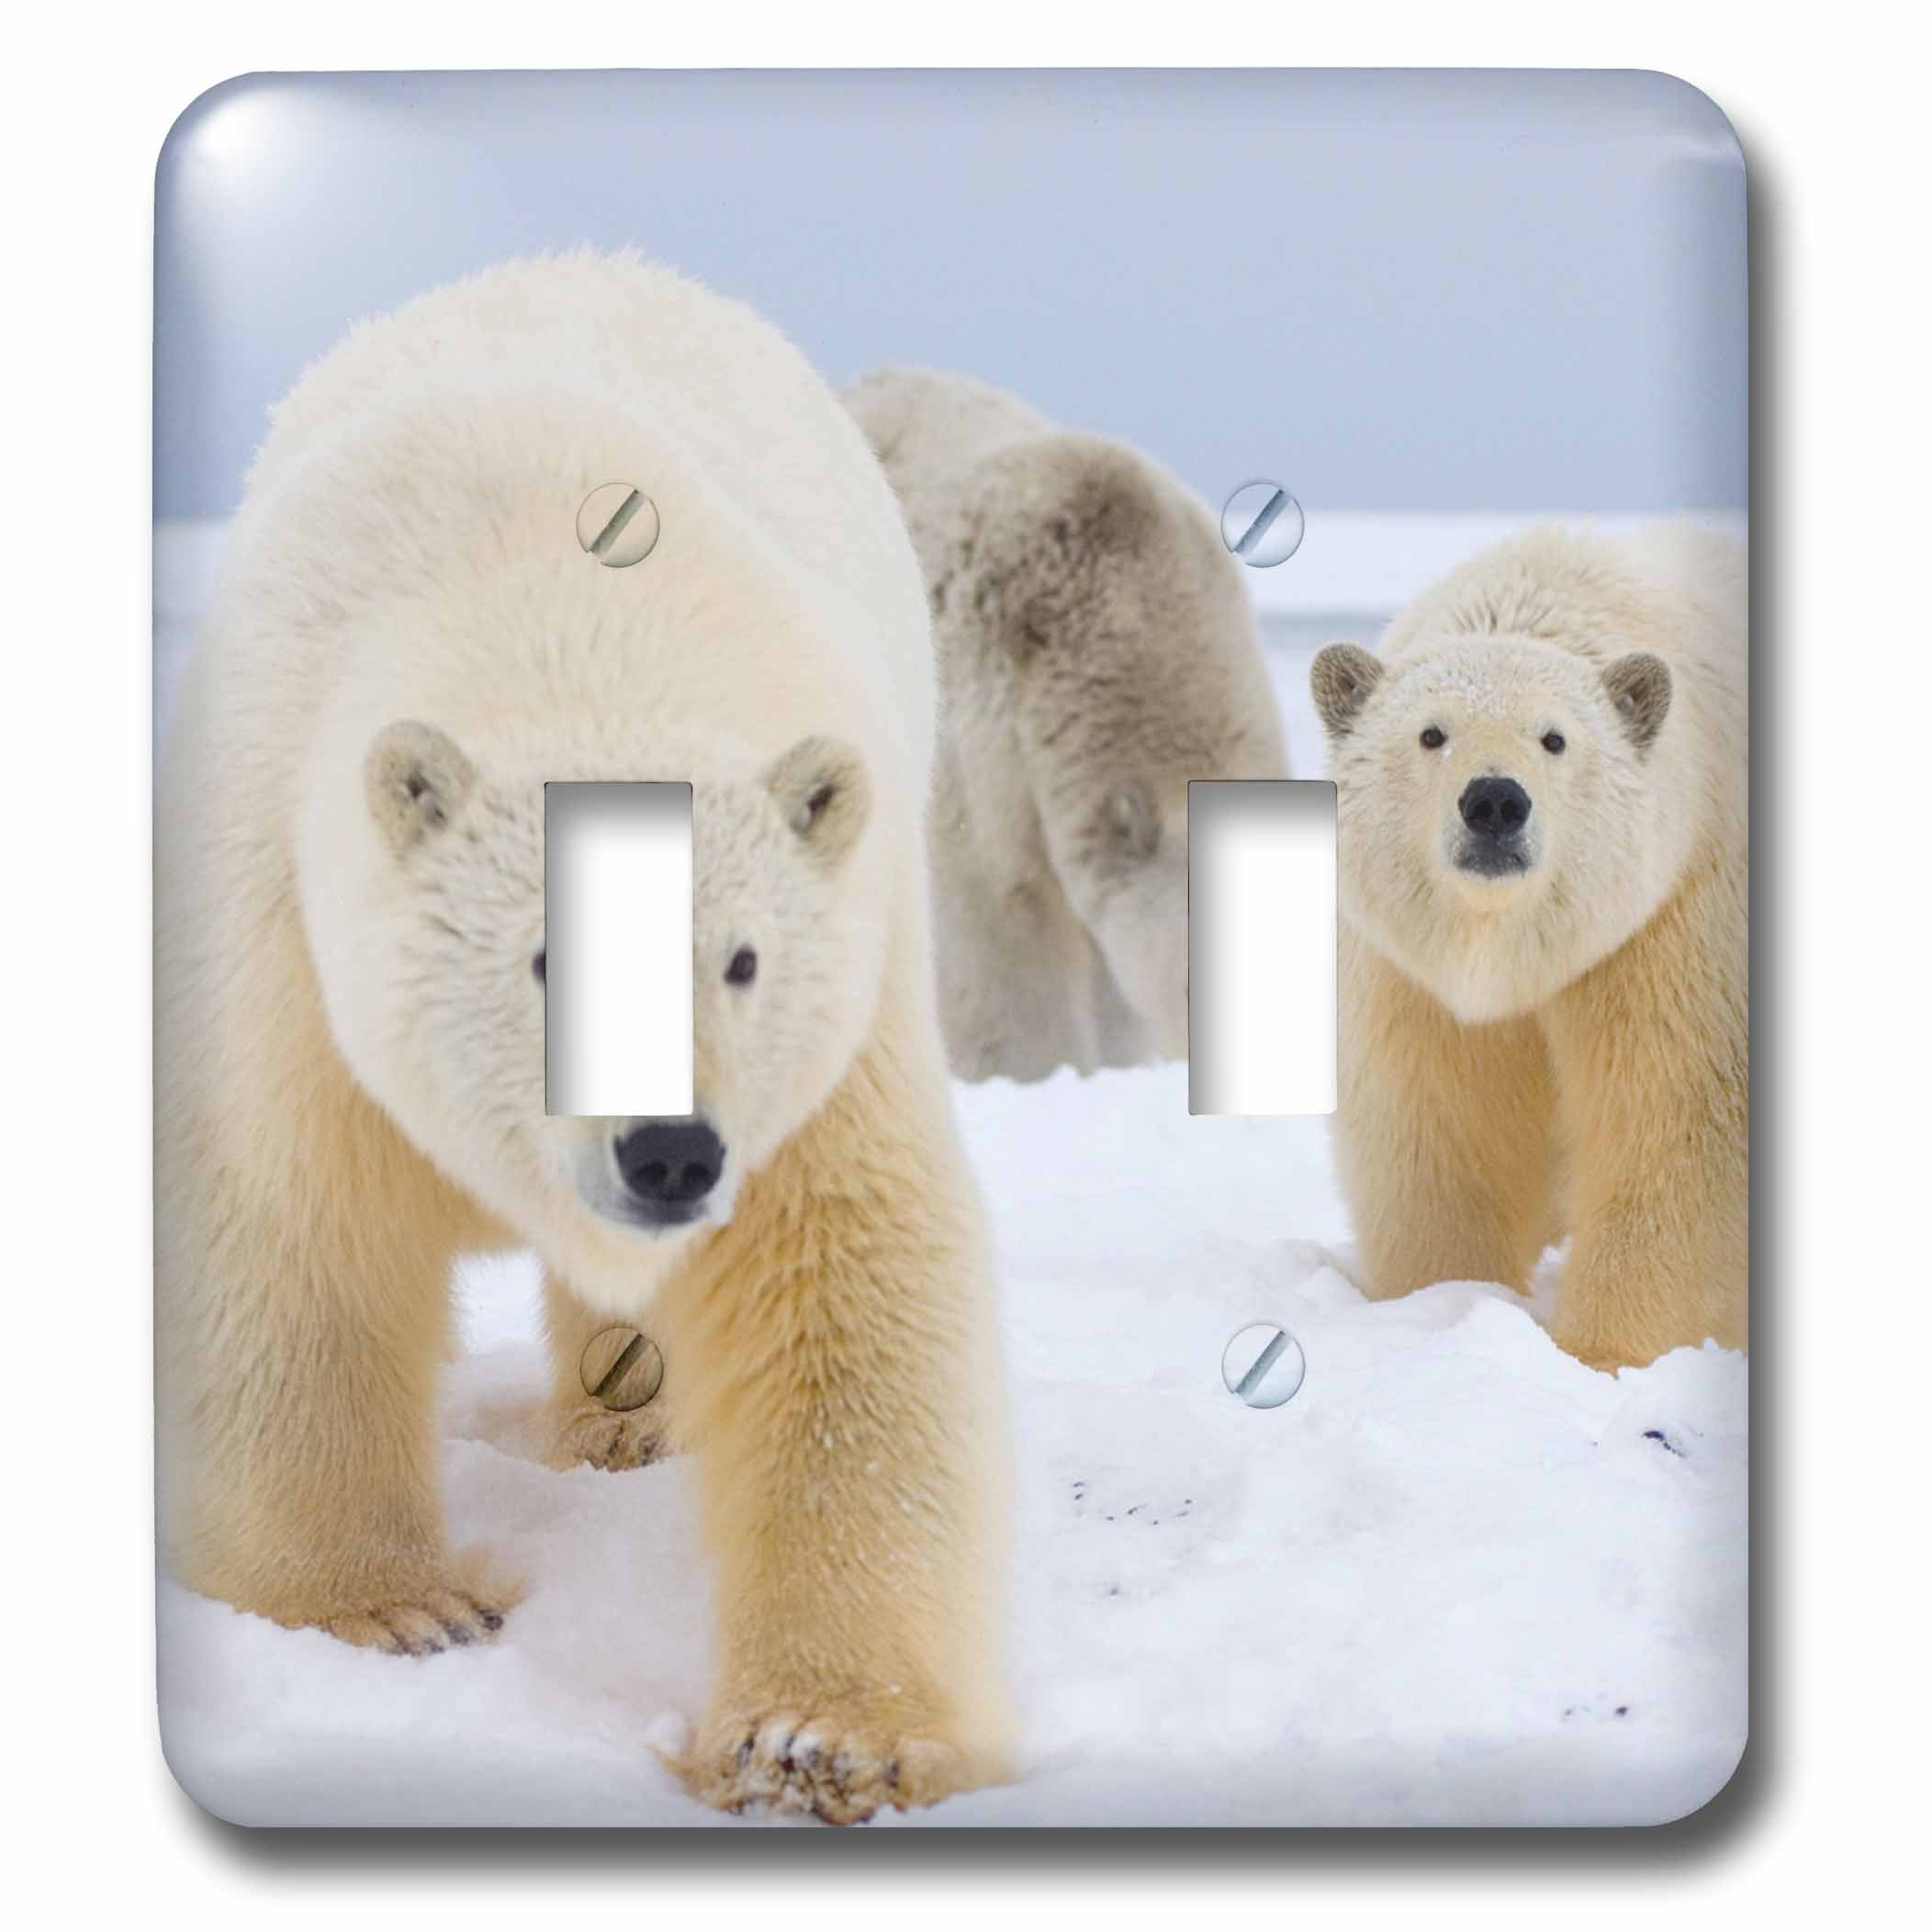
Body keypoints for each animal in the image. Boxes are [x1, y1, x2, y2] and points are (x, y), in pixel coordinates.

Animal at [155, 253, 1012, 1823]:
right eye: (550, 956)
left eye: (739, 958)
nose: (669, 1153)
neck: (566, 607)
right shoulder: (284, 933)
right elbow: (290, 1240)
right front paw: (396, 1612)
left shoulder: (836, 1006)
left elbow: (844, 1279)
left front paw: (818, 1741)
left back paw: (624, 1420)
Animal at [1309, 523, 1747, 1371]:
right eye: (1432, 733)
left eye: (1555, 738)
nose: (1494, 801)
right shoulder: (1411, 972)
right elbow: (1440, 1122)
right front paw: (1441, 1303)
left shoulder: (1676, 919)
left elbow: (1679, 1127)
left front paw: (1603, 1353)